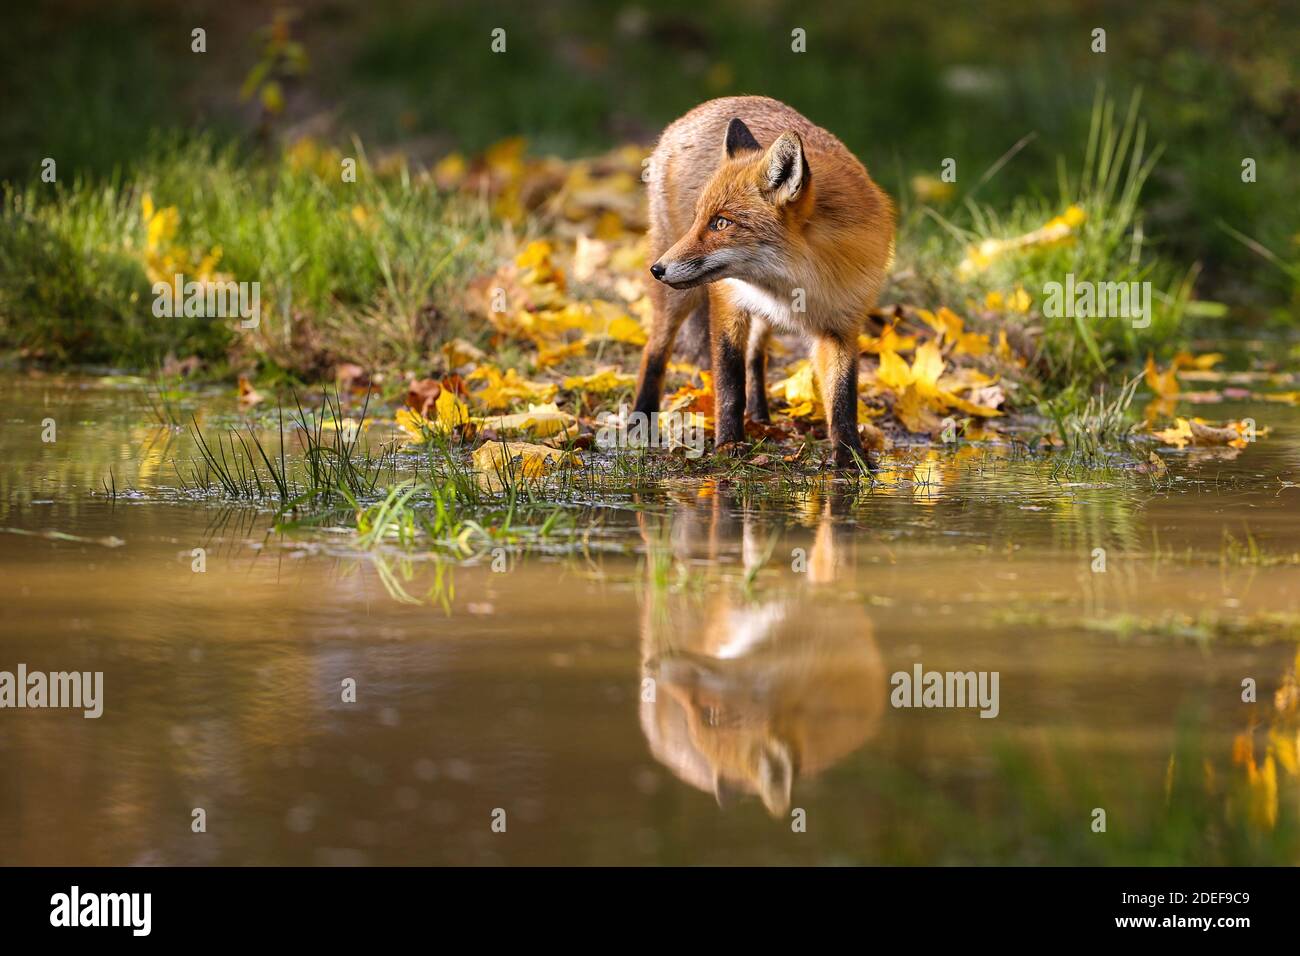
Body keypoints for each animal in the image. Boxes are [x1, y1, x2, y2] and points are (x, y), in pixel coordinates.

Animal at [633, 95, 895, 468]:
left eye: (721, 223)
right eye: (701, 219)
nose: (658, 269)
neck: (800, 282)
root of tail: (708, 106)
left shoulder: (842, 325)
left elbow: (843, 398)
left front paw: (850, 459)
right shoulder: (728, 299)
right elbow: (729, 382)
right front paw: (729, 443)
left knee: (756, 358)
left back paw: (760, 417)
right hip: (678, 298)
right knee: (655, 351)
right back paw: (640, 422)